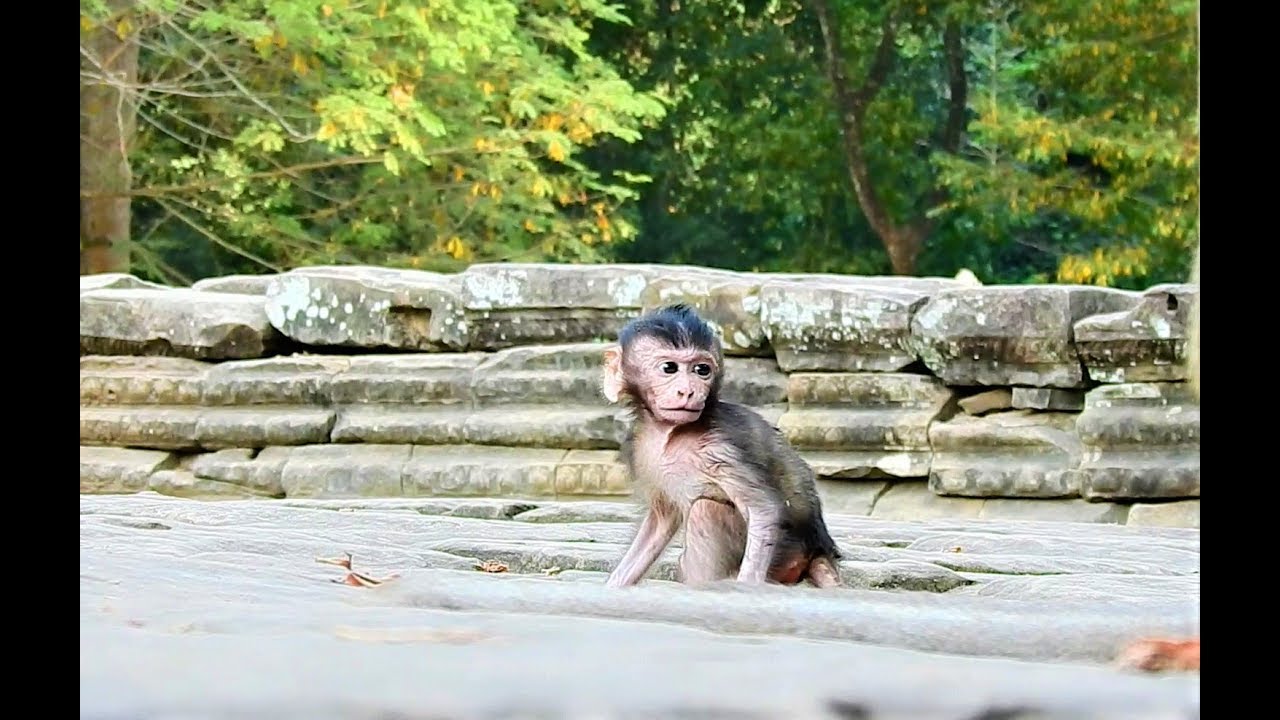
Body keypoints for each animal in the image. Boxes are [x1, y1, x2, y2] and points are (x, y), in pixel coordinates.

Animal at [601, 303, 842, 589]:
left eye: (702, 370)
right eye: (669, 368)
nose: (688, 391)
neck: (672, 434)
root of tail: (818, 550)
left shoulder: (719, 448)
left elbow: (764, 510)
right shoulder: (640, 450)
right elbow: (660, 522)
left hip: (785, 558)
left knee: (706, 510)